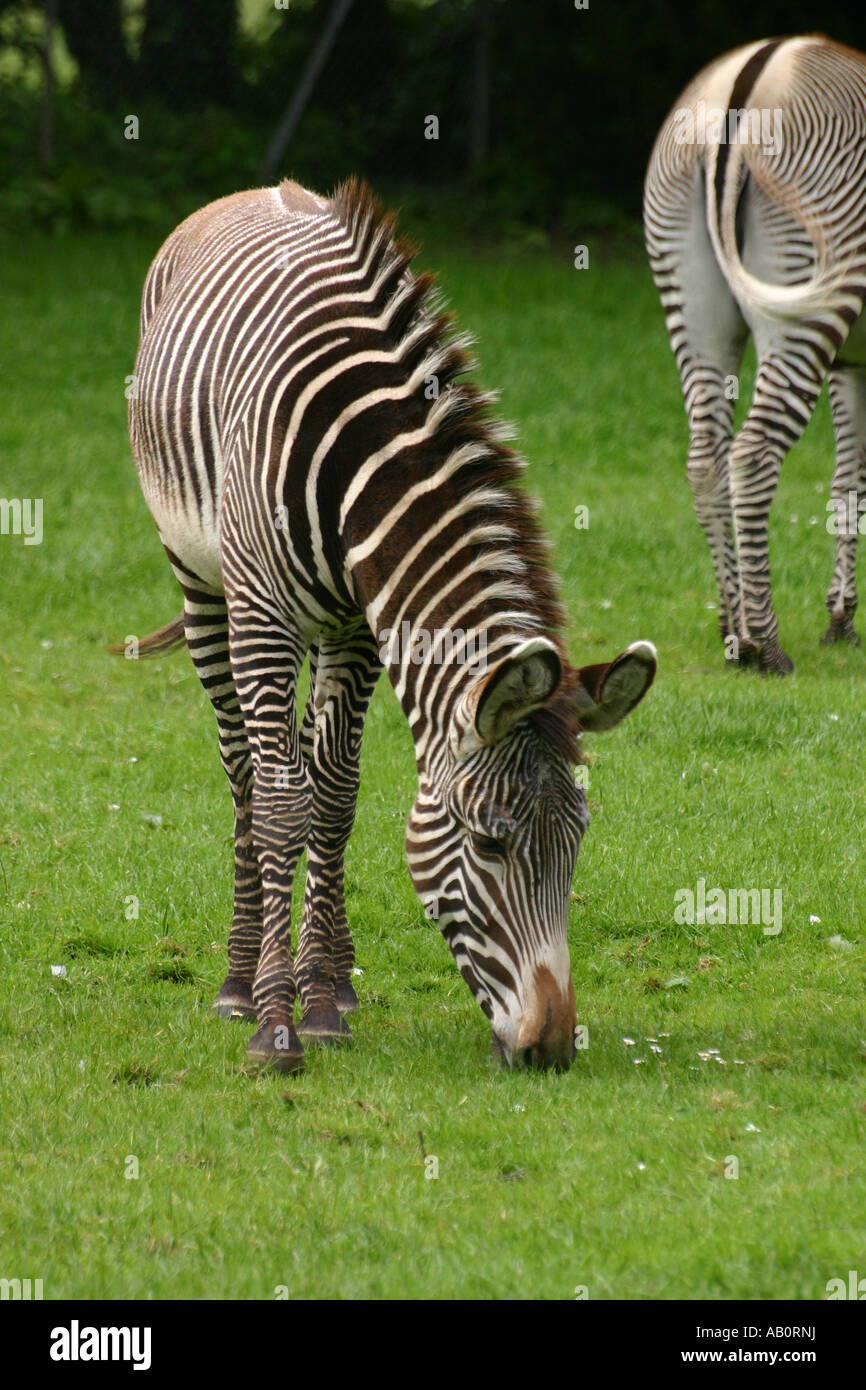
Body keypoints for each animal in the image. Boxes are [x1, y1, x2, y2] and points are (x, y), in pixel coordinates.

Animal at [122, 177, 657, 1072]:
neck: (362, 469)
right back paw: (238, 980)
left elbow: (333, 800)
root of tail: (244, 194)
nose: (551, 1048)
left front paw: (324, 1001)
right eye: (491, 845)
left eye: (578, 842)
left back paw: (324, 977)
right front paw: (276, 1024)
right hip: (199, 580)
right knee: (243, 770)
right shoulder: (264, 614)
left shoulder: (363, 628)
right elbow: (280, 803)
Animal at [644, 35, 866, 673]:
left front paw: (840, 616)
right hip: (806, 292)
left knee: (705, 460)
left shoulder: (851, 364)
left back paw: (732, 628)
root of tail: (756, 70)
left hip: (692, 306)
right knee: (752, 454)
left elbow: (848, 481)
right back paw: (765, 644)